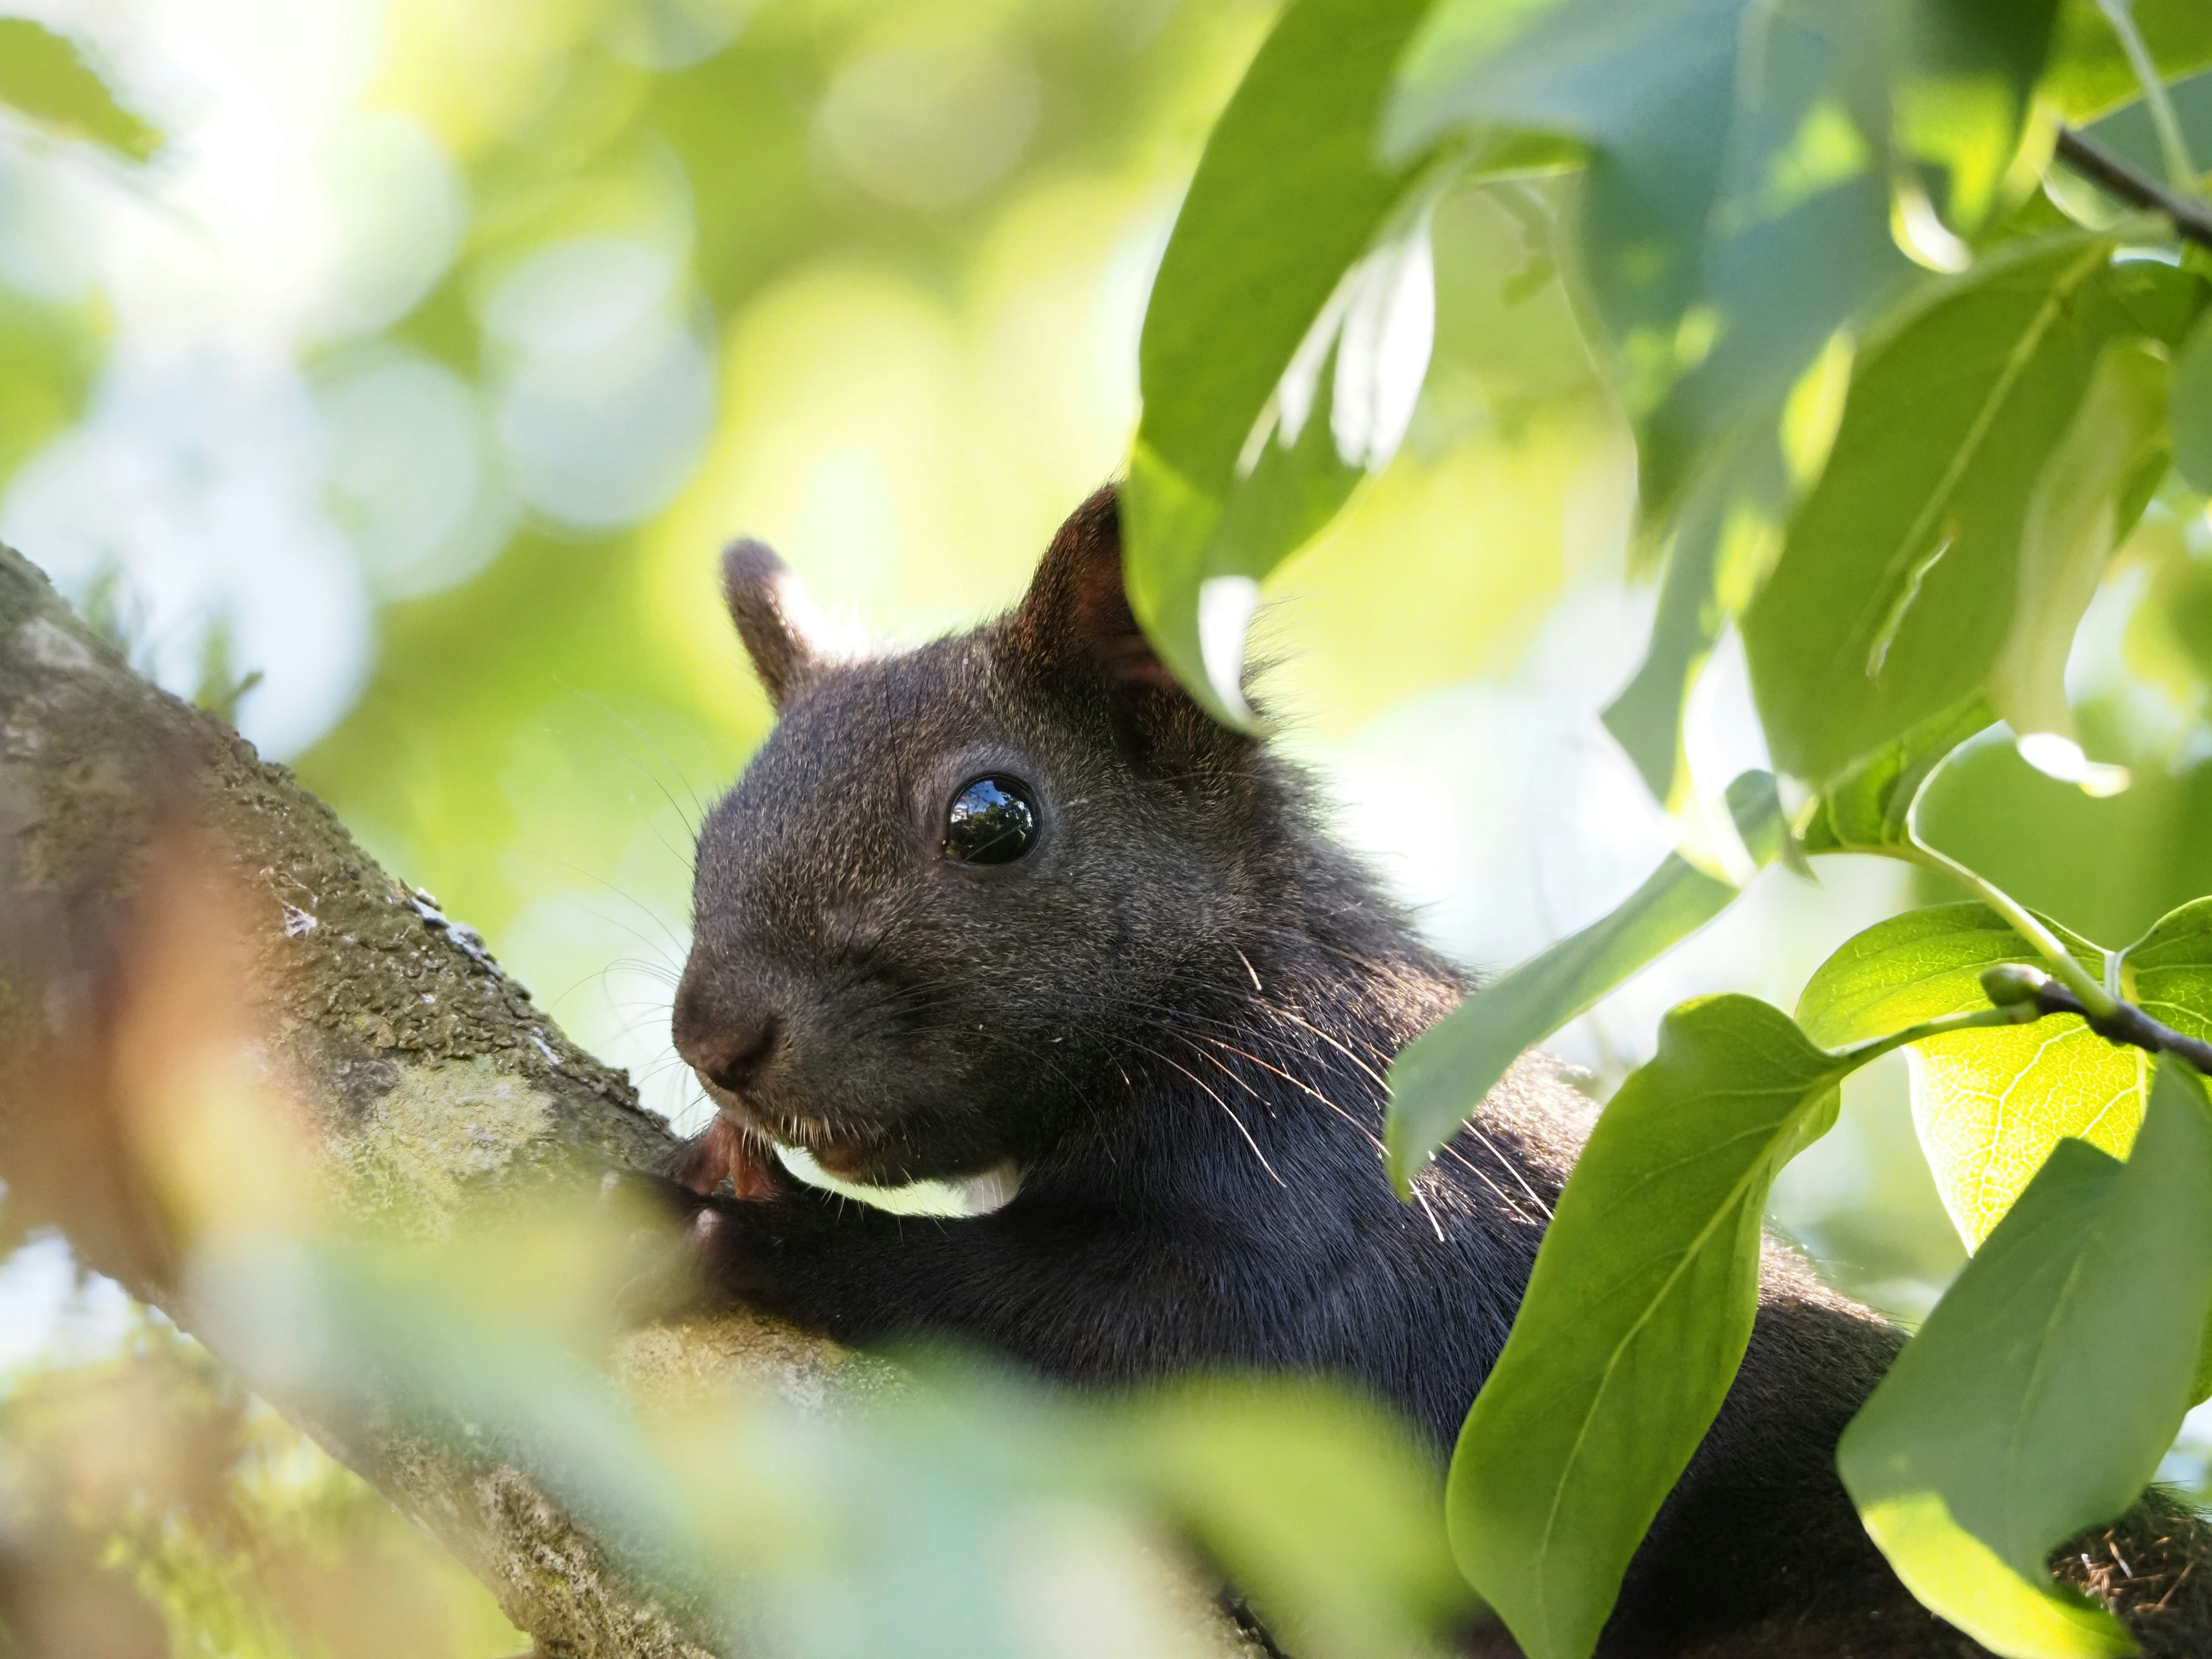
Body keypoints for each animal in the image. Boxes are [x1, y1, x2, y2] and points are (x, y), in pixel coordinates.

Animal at [645, 485, 2211, 1657]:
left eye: (990, 817)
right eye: (711, 824)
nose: (711, 1037)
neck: (1237, 998)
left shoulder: (1336, 1201)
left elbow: (1127, 1331)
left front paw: (761, 1225)